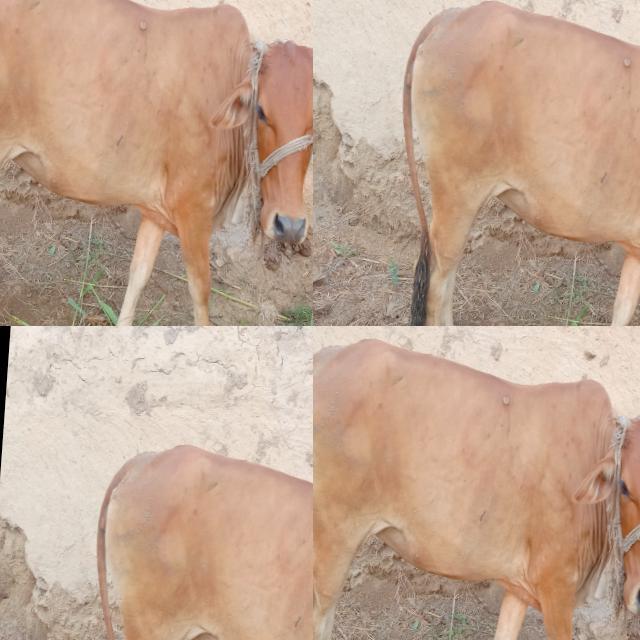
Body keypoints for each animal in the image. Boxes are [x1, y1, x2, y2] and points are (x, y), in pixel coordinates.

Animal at [0, 0, 312, 325]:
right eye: (260, 111)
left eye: (312, 117)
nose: (290, 225)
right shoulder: (193, 208)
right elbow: (201, 292)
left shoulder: (156, 211)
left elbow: (138, 275)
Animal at [314, 340, 640, 640]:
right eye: (623, 487)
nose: (637, 596)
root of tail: (327, 356)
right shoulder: (556, 586)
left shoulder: (520, 588)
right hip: (333, 539)